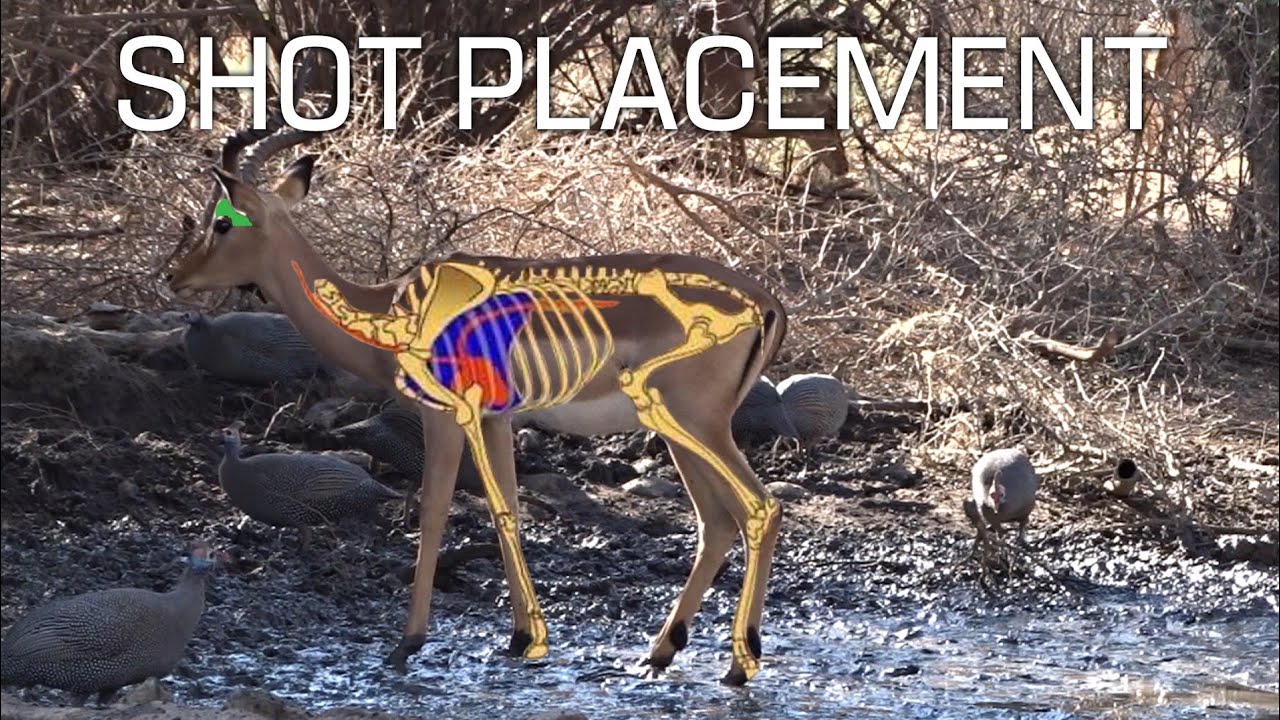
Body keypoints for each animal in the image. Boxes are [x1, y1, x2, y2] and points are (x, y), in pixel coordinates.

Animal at [166, 121, 788, 685]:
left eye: (222, 220)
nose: (175, 275)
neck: (390, 308)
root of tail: (768, 301)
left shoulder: (442, 418)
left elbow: (435, 509)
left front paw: (407, 643)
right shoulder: (495, 420)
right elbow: (503, 507)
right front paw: (521, 639)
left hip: (696, 425)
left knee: (761, 508)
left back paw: (737, 666)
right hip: (684, 433)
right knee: (719, 522)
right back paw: (659, 654)